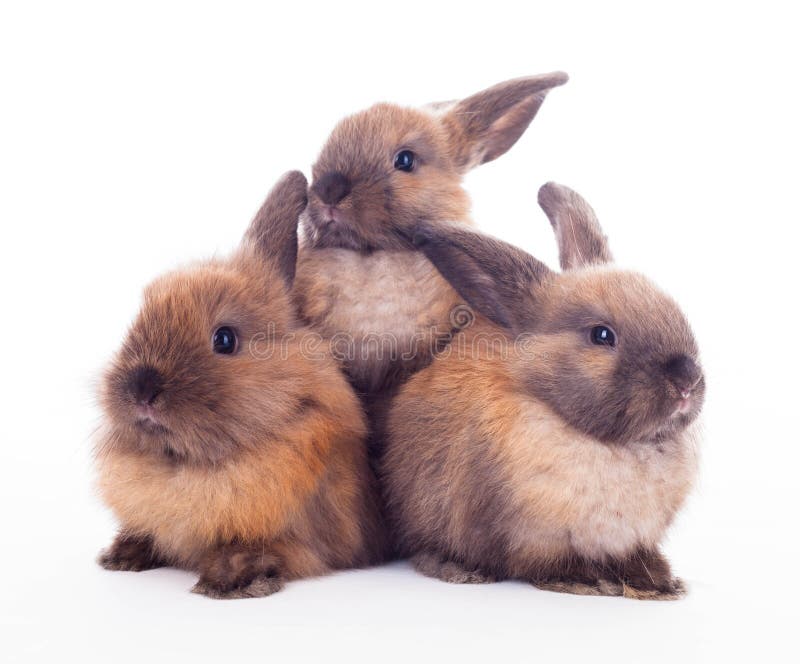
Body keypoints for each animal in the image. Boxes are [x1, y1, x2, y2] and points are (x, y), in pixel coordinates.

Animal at [94, 171, 387, 599]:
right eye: (138, 319)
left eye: (225, 339)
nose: (141, 390)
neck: (187, 467)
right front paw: (120, 555)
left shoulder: (311, 541)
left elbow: (266, 549)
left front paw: (228, 579)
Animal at [380, 182, 704, 600]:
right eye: (602, 335)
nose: (686, 381)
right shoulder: (533, 539)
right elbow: (552, 564)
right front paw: (591, 581)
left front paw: (663, 581)